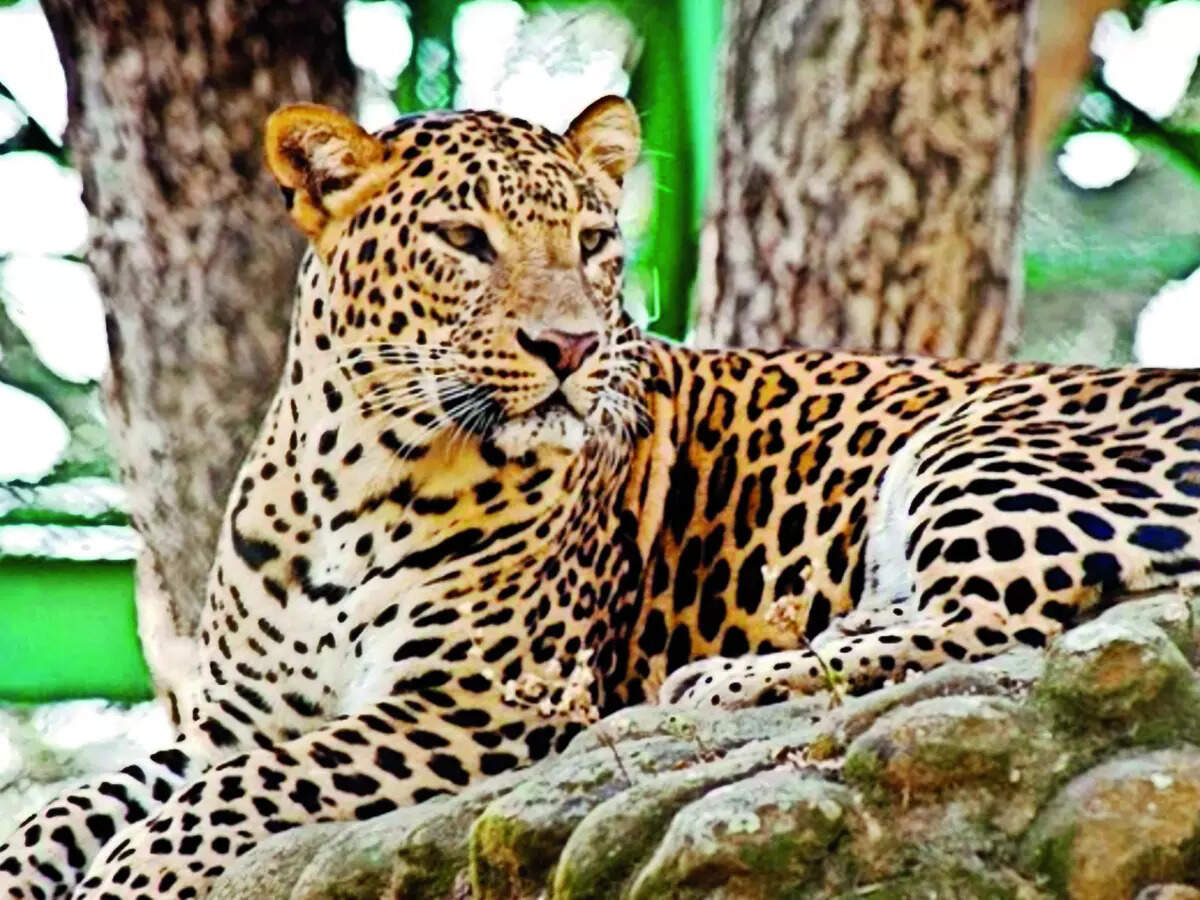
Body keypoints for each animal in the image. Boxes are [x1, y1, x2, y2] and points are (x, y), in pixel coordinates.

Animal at [4, 94, 1200, 899]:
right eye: (464, 239)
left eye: (591, 242)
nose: (571, 346)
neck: (351, 472)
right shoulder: (226, 720)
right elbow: (84, 800)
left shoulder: (475, 707)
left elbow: (234, 793)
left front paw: (120, 879)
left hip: (977, 442)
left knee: (989, 620)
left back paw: (719, 681)